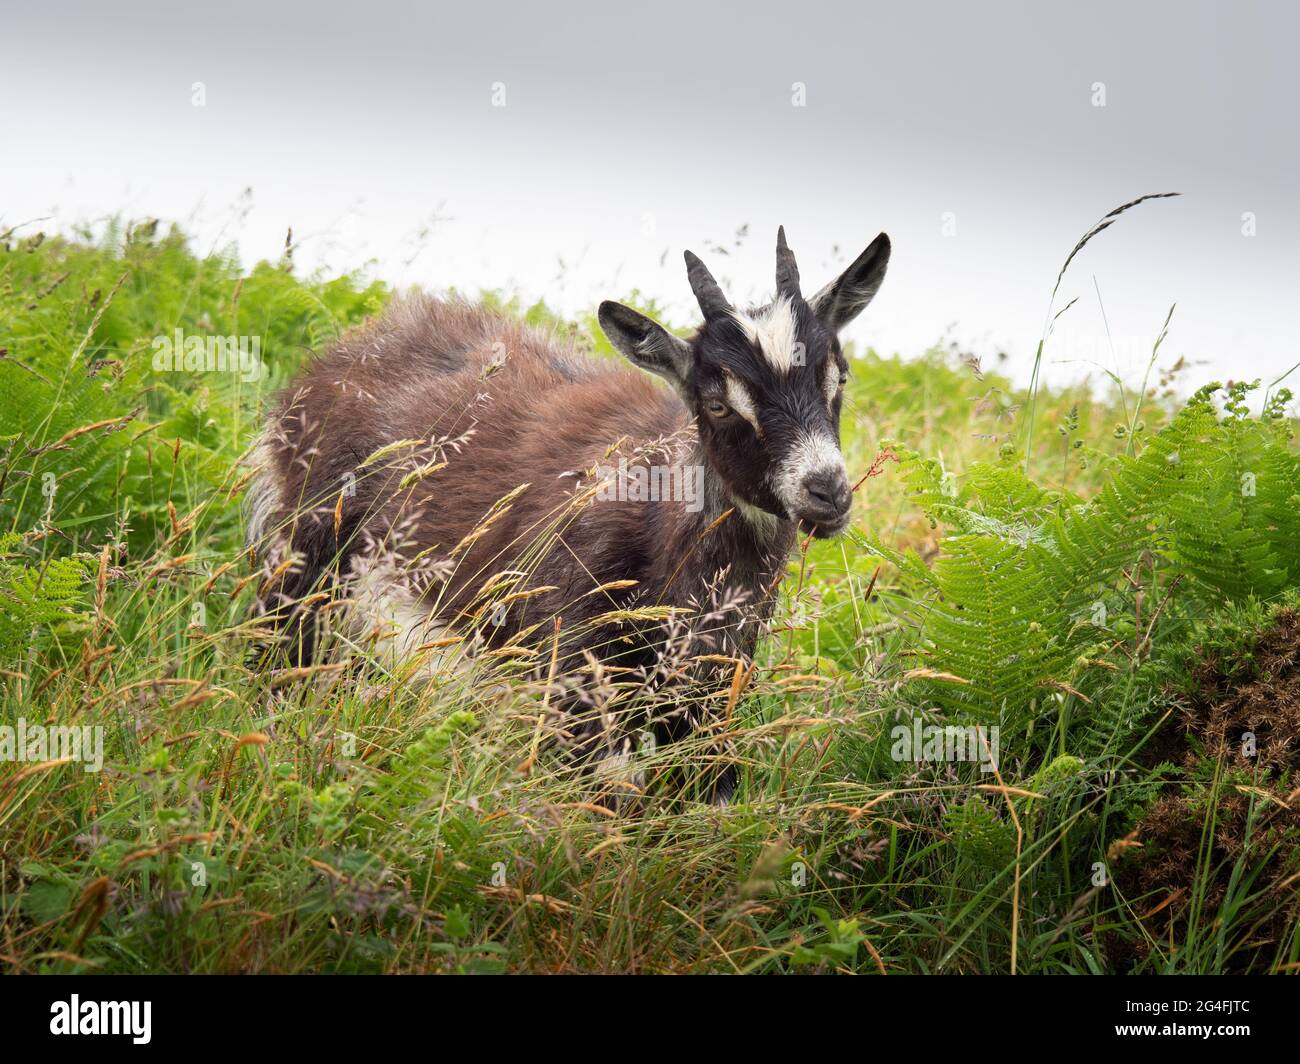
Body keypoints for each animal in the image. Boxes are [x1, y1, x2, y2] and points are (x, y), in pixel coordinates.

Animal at [247, 227, 890, 800]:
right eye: (716, 403)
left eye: (839, 377)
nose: (827, 492)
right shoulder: (569, 670)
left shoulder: (712, 686)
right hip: (308, 556)